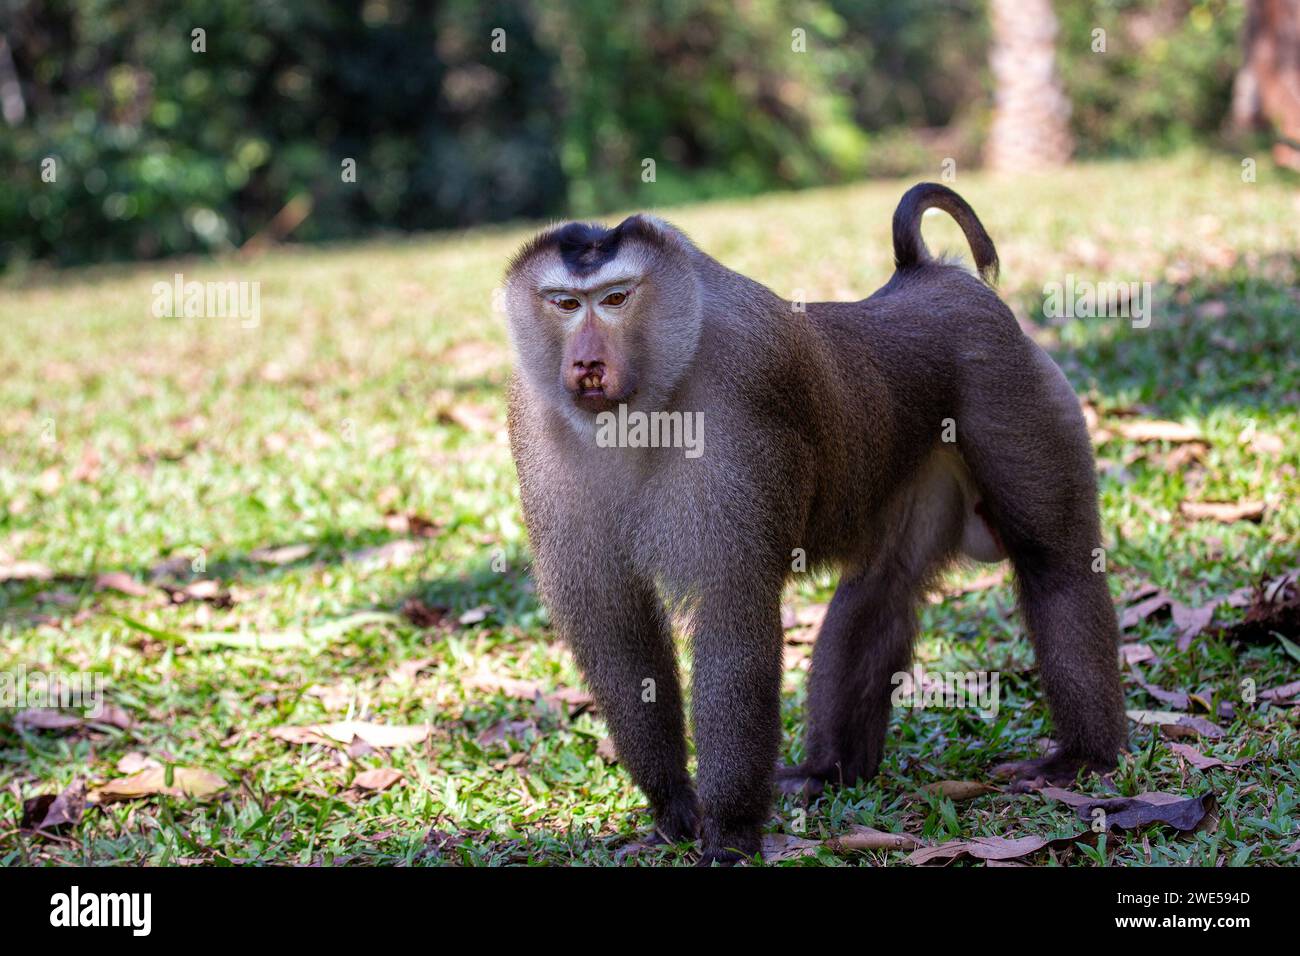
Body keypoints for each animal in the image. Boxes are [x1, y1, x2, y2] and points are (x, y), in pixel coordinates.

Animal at [502, 184, 1128, 864]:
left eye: (616, 298)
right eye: (566, 303)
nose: (587, 362)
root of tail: (926, 278)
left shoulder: (742, 393)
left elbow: (733, 614)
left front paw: (730, 833)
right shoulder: (534, 419)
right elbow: (614, 623)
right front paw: (672, 806)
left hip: (1009, 384)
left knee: (1054, 560)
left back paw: (1084, 755)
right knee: (882, 587)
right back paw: (827, 770)